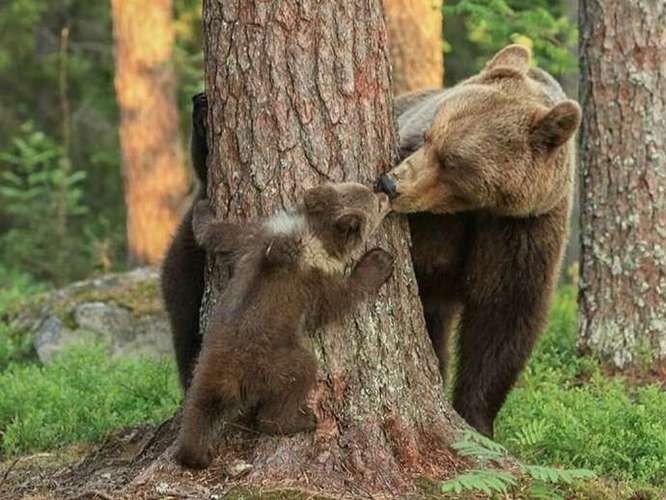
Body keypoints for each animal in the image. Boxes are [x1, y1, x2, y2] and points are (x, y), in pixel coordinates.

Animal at [174, 184, 394, 469]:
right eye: (375, 204)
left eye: (366, 190)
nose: (386, 194)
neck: (312, 236)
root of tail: (231, 375)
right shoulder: (312, 281)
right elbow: (338, 300)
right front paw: (379, 261)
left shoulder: (255, 239)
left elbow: (219, 233)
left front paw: (204, 207)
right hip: (273, 361)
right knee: (298, 375)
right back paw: (301, 419)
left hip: (205, 361)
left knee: (197, 408)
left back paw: (194, 453)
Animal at [375, 45, 581, 437]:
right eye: (429, 135)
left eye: (452, 161)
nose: (392, 184)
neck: (473, 208)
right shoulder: (437, 227)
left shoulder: (521, 229)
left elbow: (503, 316)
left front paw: (476, 421)